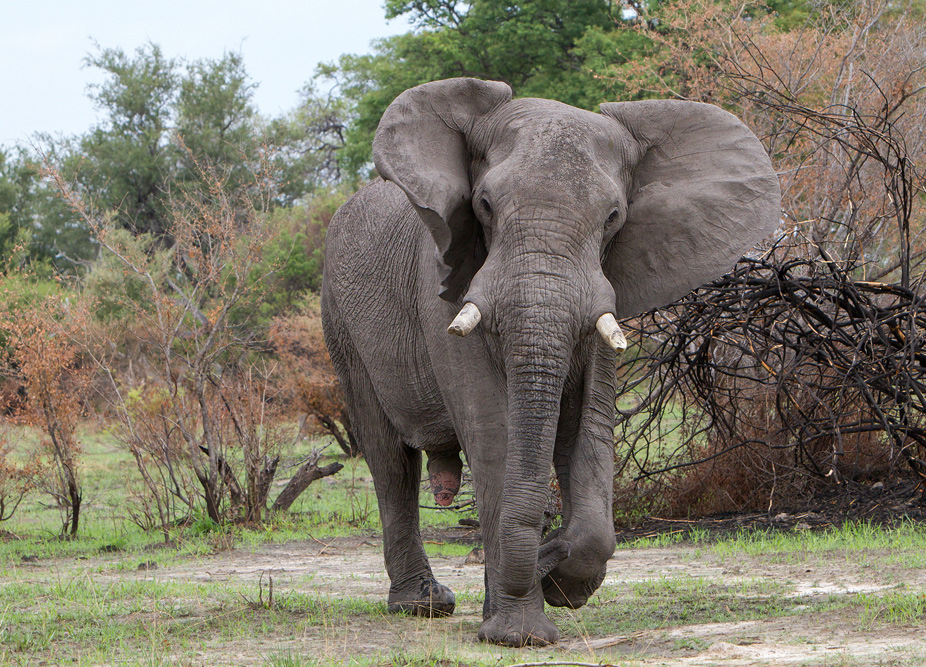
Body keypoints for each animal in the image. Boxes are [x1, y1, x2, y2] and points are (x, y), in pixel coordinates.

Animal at [320, 78, 784, 648]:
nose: (545, 552)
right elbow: (492, 430)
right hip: (341, 326)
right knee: (390, 463)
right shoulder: (444, 289)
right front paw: (519, 634)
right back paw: (423, 605)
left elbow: (589, 426)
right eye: (484, 204)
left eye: (613, 217)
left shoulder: (606, 291)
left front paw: (560, 586)